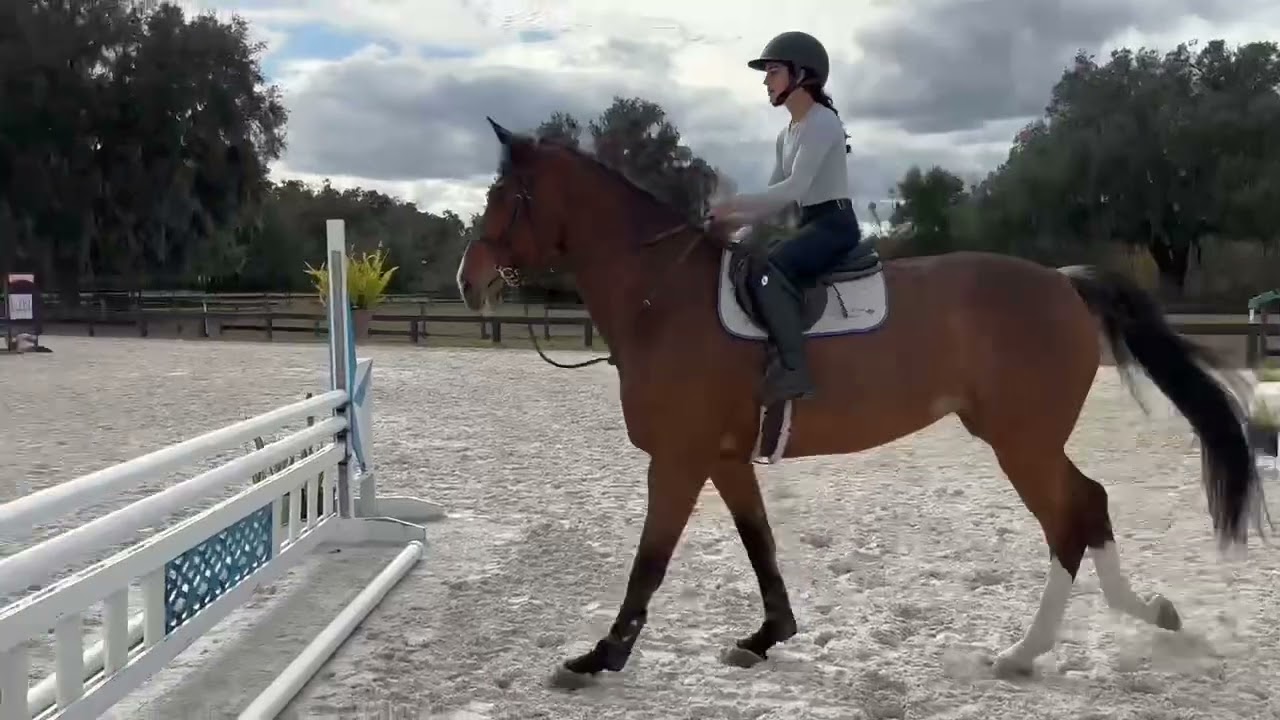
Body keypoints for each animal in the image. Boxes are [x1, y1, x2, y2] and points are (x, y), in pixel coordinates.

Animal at [455, 117, 1267, 686]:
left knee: (1073, 516)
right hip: (1022, 438)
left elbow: (649, 561)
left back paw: (1024, 651)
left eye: (506, 198)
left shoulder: (678, 459)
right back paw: (1140, 616)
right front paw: (767, 637)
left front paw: (600, 658)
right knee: (1088, 508)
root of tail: (1063, 281)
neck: (665, 296)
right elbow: (760, 543)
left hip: (1021, 441)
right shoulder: (724, 458)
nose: (469, 281)